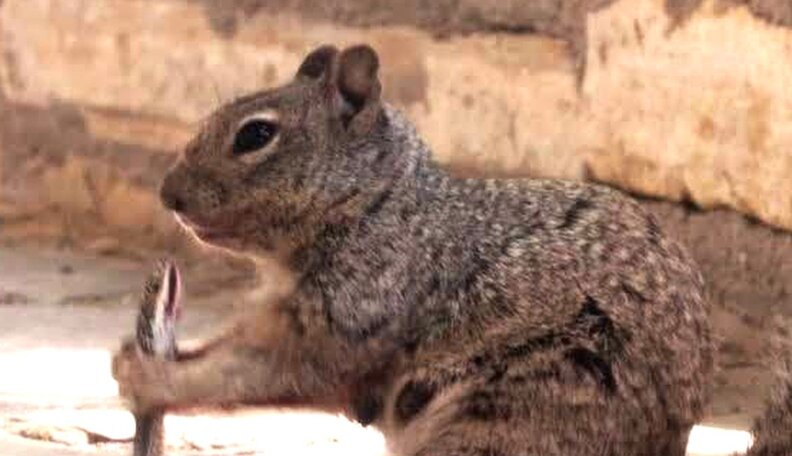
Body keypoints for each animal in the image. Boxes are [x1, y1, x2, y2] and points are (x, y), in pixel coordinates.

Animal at [112, 43, 784, 456]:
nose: (168, 194)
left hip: (505, 419)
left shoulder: (355, 314)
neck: (378, 208)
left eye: (256, 135)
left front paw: (147, 376)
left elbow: (261, 371)